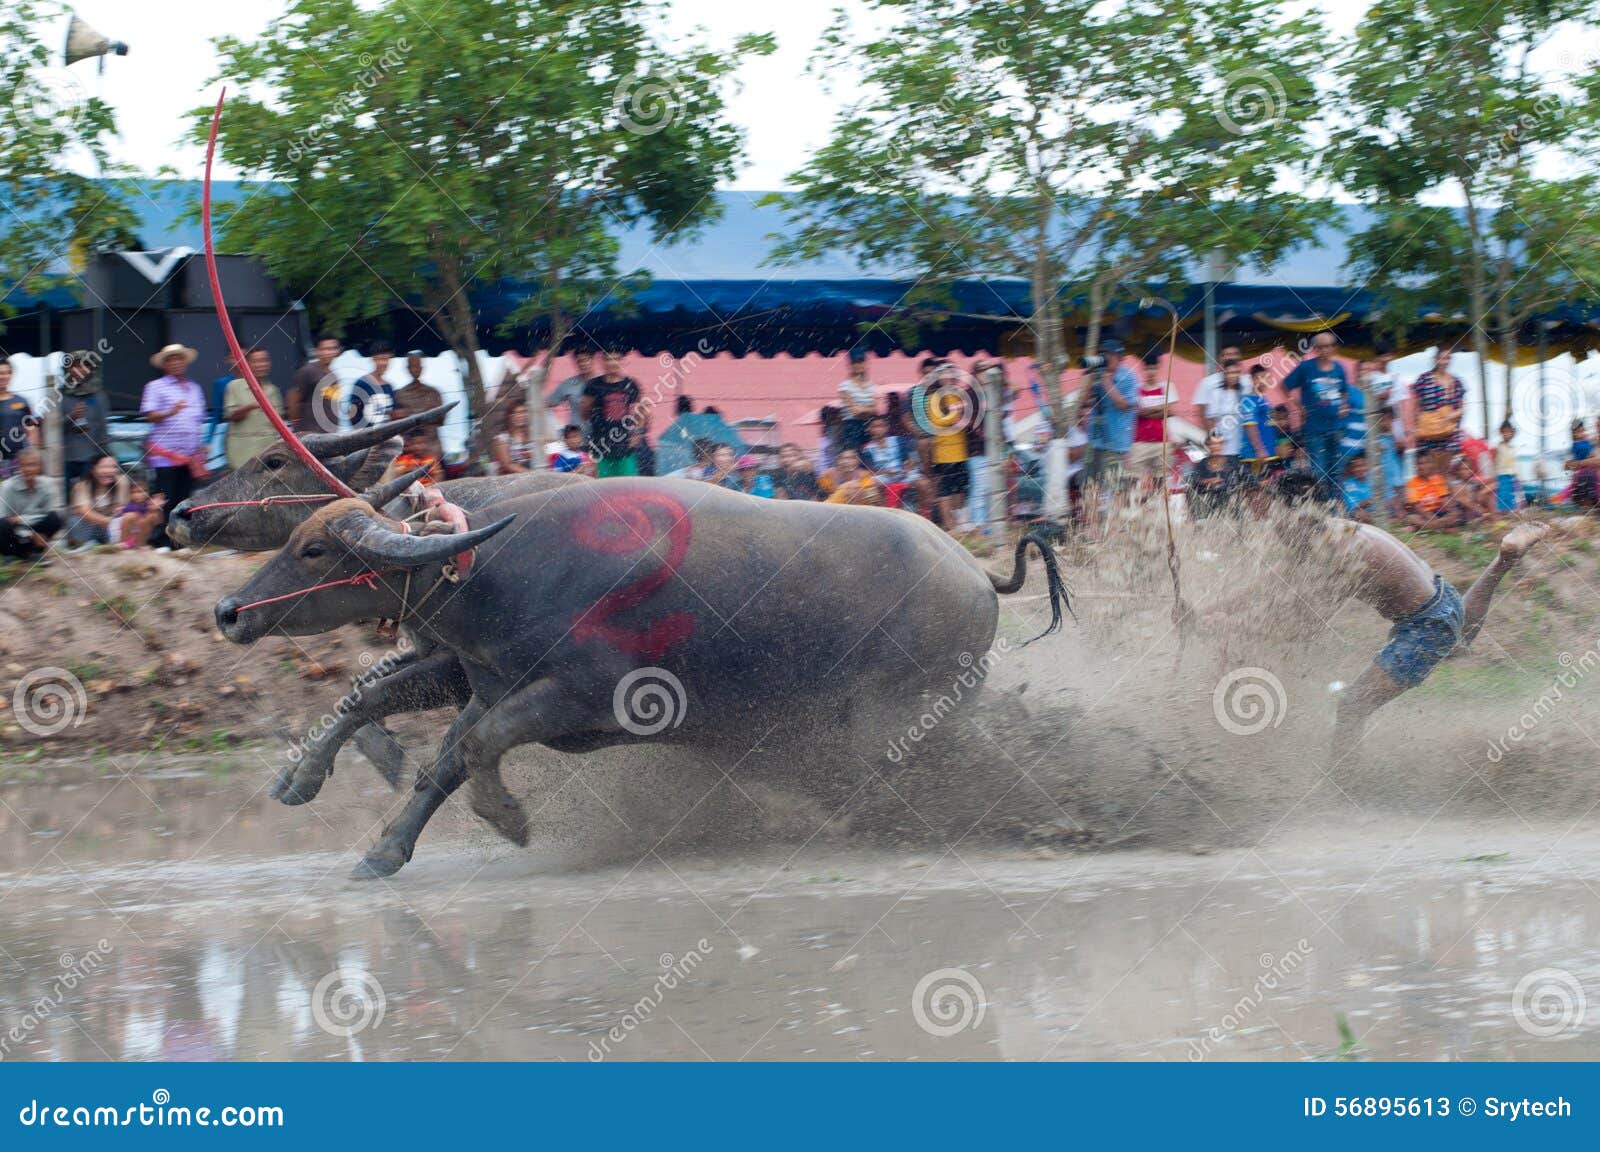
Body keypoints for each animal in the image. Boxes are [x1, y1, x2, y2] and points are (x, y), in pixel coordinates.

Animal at [216, 479, 1067, 878]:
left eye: (316, 551)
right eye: (293, 537)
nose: (228, 610)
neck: (490, 568)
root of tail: (976, 575)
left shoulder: (579, 697)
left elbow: (478, 748)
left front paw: (509, 819)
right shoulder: (485, 685)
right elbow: (439, 757)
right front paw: (378, 846)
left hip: (903, 716)